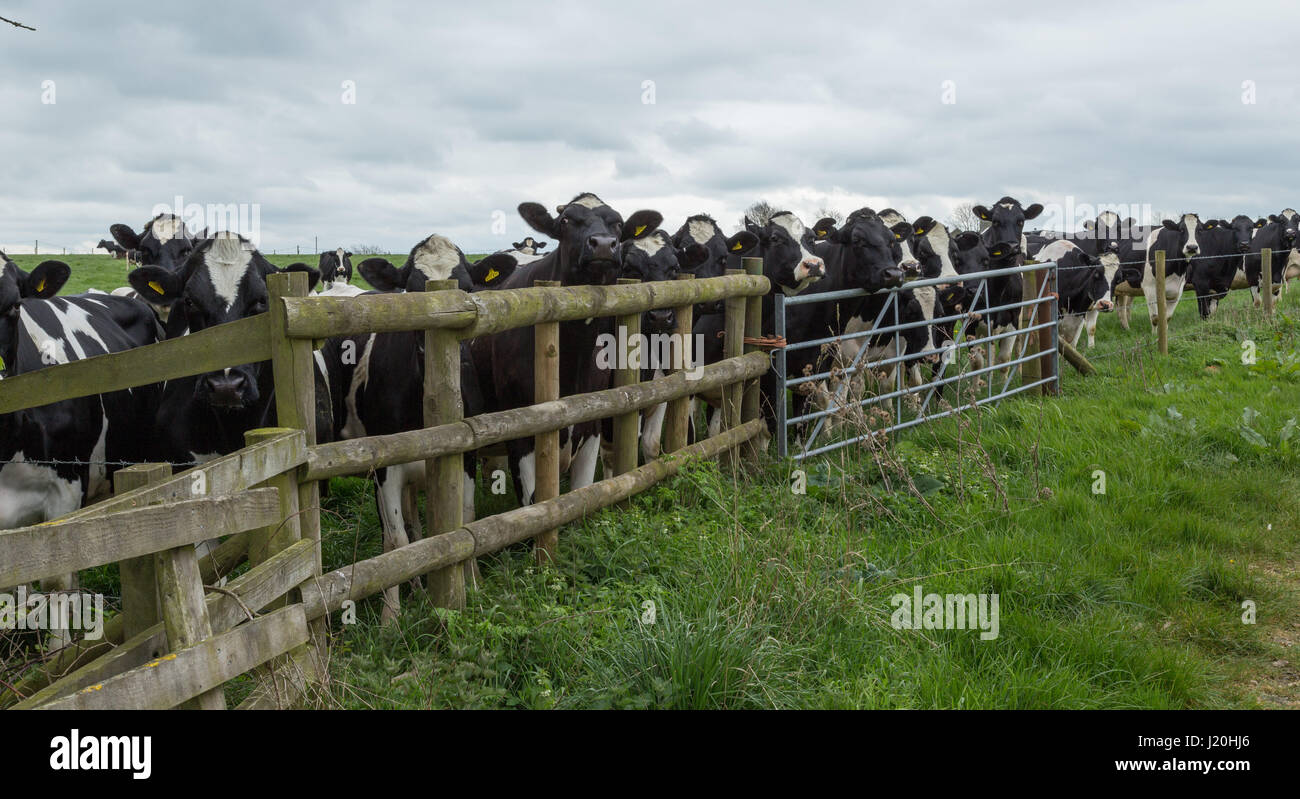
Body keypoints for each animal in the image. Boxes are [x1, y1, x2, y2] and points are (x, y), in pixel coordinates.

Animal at [469, 193, 662, 508]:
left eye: (619, 223)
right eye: (566, 220)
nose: (604, 244)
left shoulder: (592, 424)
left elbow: (582, 494)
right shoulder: (521, 434)